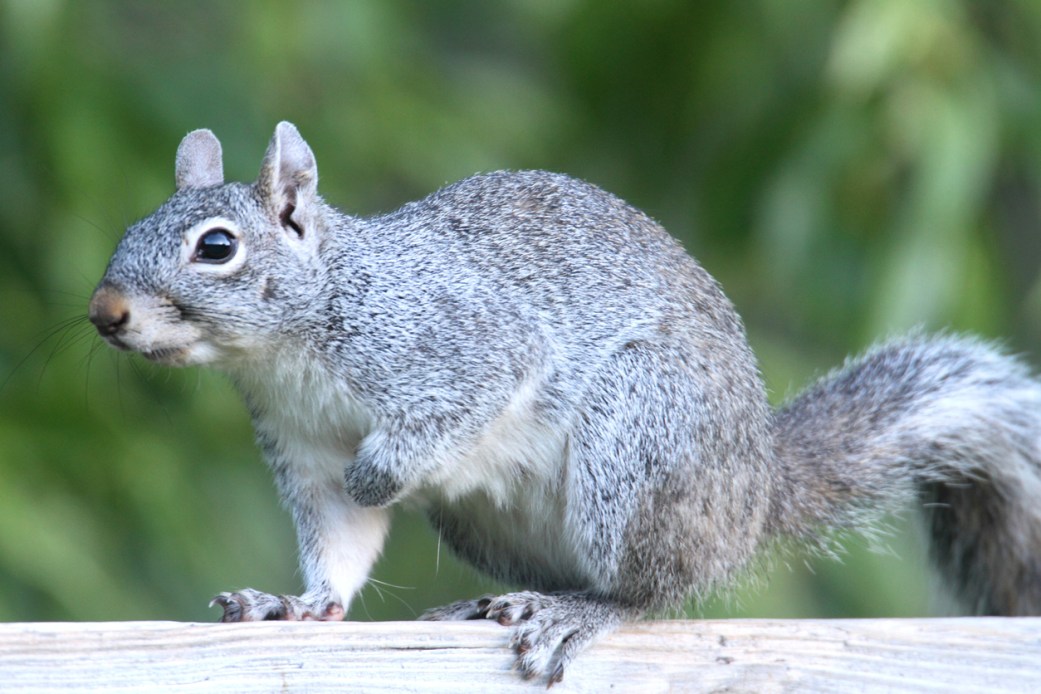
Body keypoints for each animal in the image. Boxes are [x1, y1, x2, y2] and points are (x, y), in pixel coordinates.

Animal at [89, 122, 1041, 684]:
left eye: (217, 247)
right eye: (127, 229)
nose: (105, 312)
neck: (288, 349)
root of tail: (752, 499)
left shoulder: (464, 343)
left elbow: (439, 420)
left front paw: (381, 474)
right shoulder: (301, 447)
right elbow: (338, 542)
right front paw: (295, 606)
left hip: (640, 434)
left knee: (654, 590)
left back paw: (582, 611)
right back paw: (500, 603)